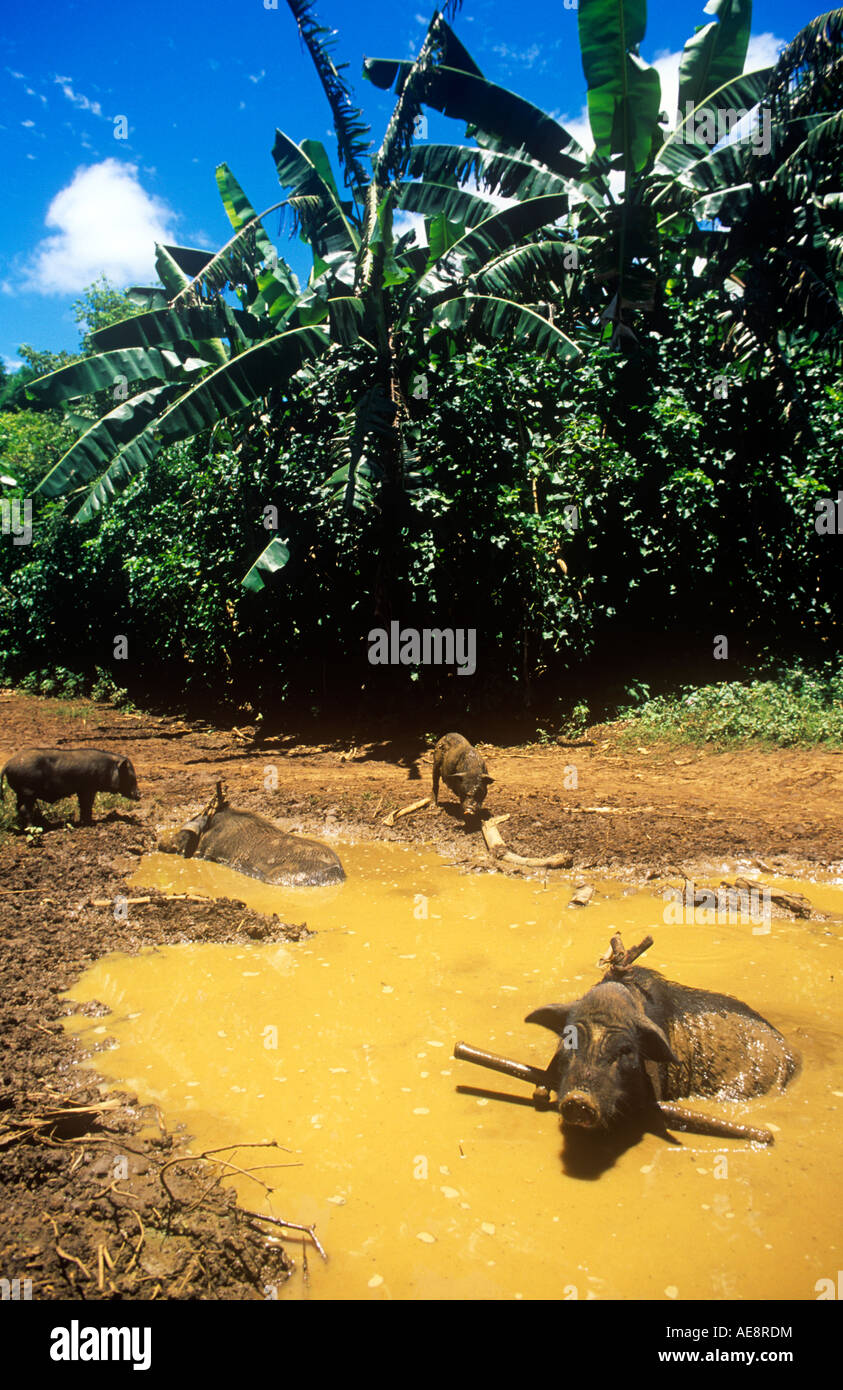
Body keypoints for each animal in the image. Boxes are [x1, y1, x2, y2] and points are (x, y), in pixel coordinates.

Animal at [0, 747, 141, 826]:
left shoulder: (83, 790)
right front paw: (90, 823)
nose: (140, 794)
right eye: (131, 777)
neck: (107, 768)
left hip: (21, 793)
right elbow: (87, 805)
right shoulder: (88, 788)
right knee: (24, 809)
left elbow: (83, 805)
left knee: (18, 807)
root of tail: (8, 764)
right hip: (27, 791)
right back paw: (32, 827)